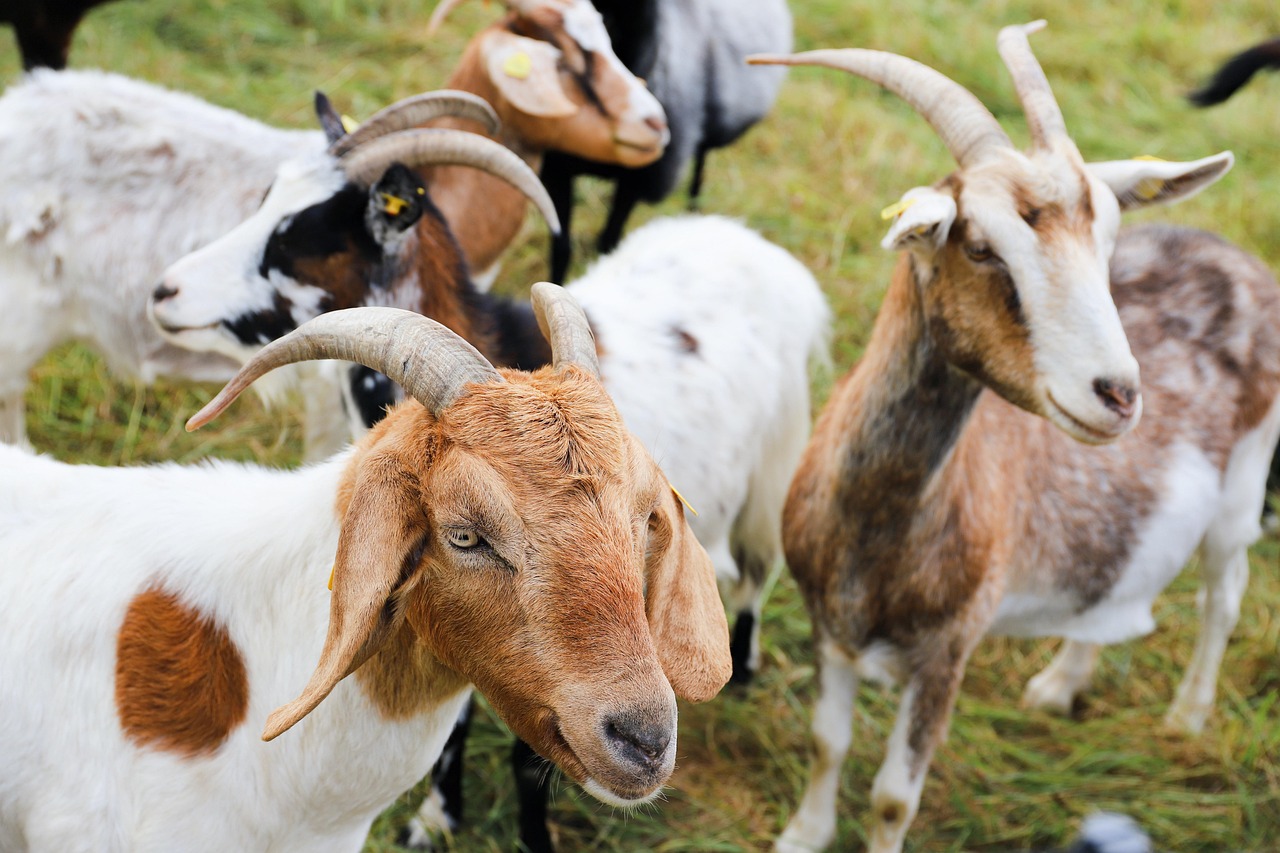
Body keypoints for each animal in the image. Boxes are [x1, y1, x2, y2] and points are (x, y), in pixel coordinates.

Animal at [152, 114, 829, 851]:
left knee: (757, 571)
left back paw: (747, 667)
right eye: (268, 197)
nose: (165, 291)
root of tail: (746, 239)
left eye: (301, 232)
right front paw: (436, 817)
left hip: (774, 463)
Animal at [432, 0, 791, 283]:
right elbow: (561, 249)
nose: (656, 123)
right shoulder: (557, 176)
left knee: (701, 161)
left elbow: (609, 241)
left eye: (607, 37)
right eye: (563, 61)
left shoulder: (634, 181)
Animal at [750, 21, 1275, 853]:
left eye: (1107, 242)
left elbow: (893, 798)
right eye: (981, 246)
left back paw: (1187, 716)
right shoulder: (829, 625)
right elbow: (826, 741)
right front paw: (802, 834)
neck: (880, 527)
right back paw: (1060, 682)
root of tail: (1242, 259)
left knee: (1223, 594)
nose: (1118, 393)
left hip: (1245, 480)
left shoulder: (948, 649)